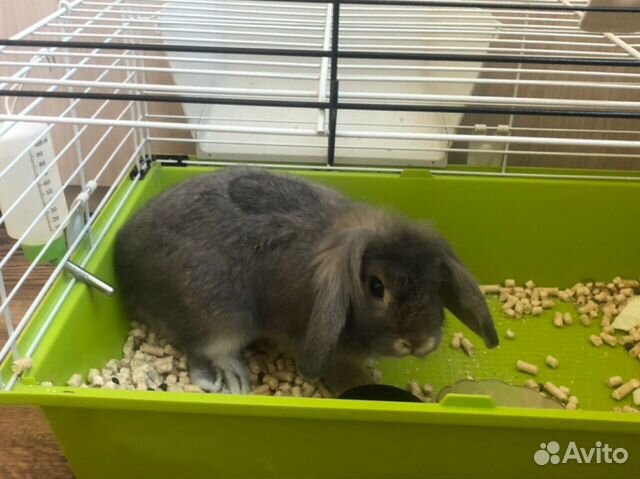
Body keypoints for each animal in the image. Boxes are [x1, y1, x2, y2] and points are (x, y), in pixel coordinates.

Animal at [114, 166, 499, 395]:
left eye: (435, 282)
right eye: (376, 287)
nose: (419, 343)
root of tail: (124, 260)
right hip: (219, 316)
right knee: (201, 351)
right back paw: (234, 379)